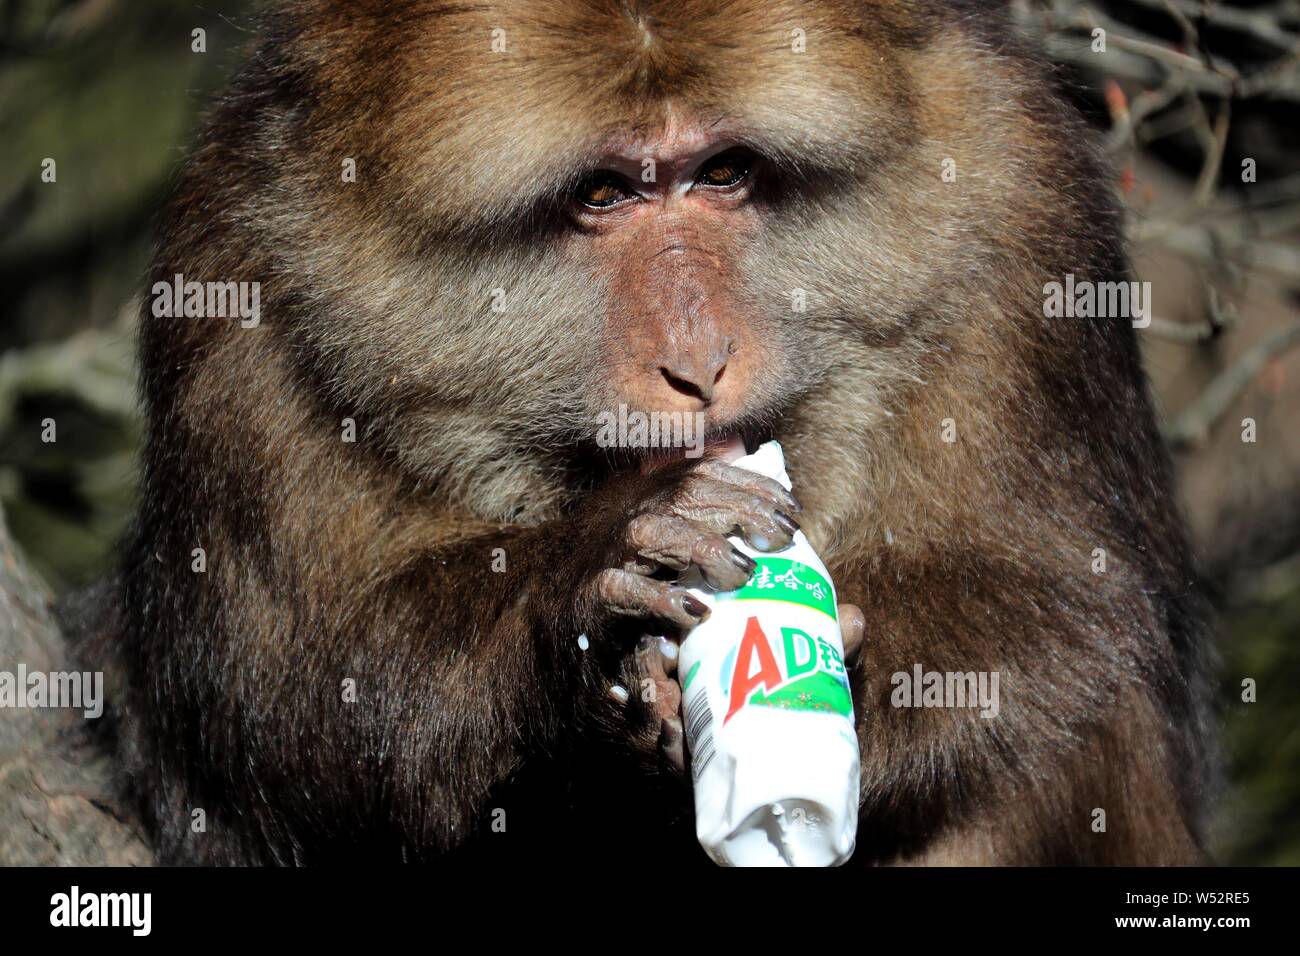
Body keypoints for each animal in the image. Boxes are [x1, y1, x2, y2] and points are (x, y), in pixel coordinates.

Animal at [91, 0, 1214, 866]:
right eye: (602, 192)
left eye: (722, 172)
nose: (699, 360)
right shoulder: (239, 284)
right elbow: (278, 711)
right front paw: (601, 576)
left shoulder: (1022, 208)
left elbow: (1058, 616)